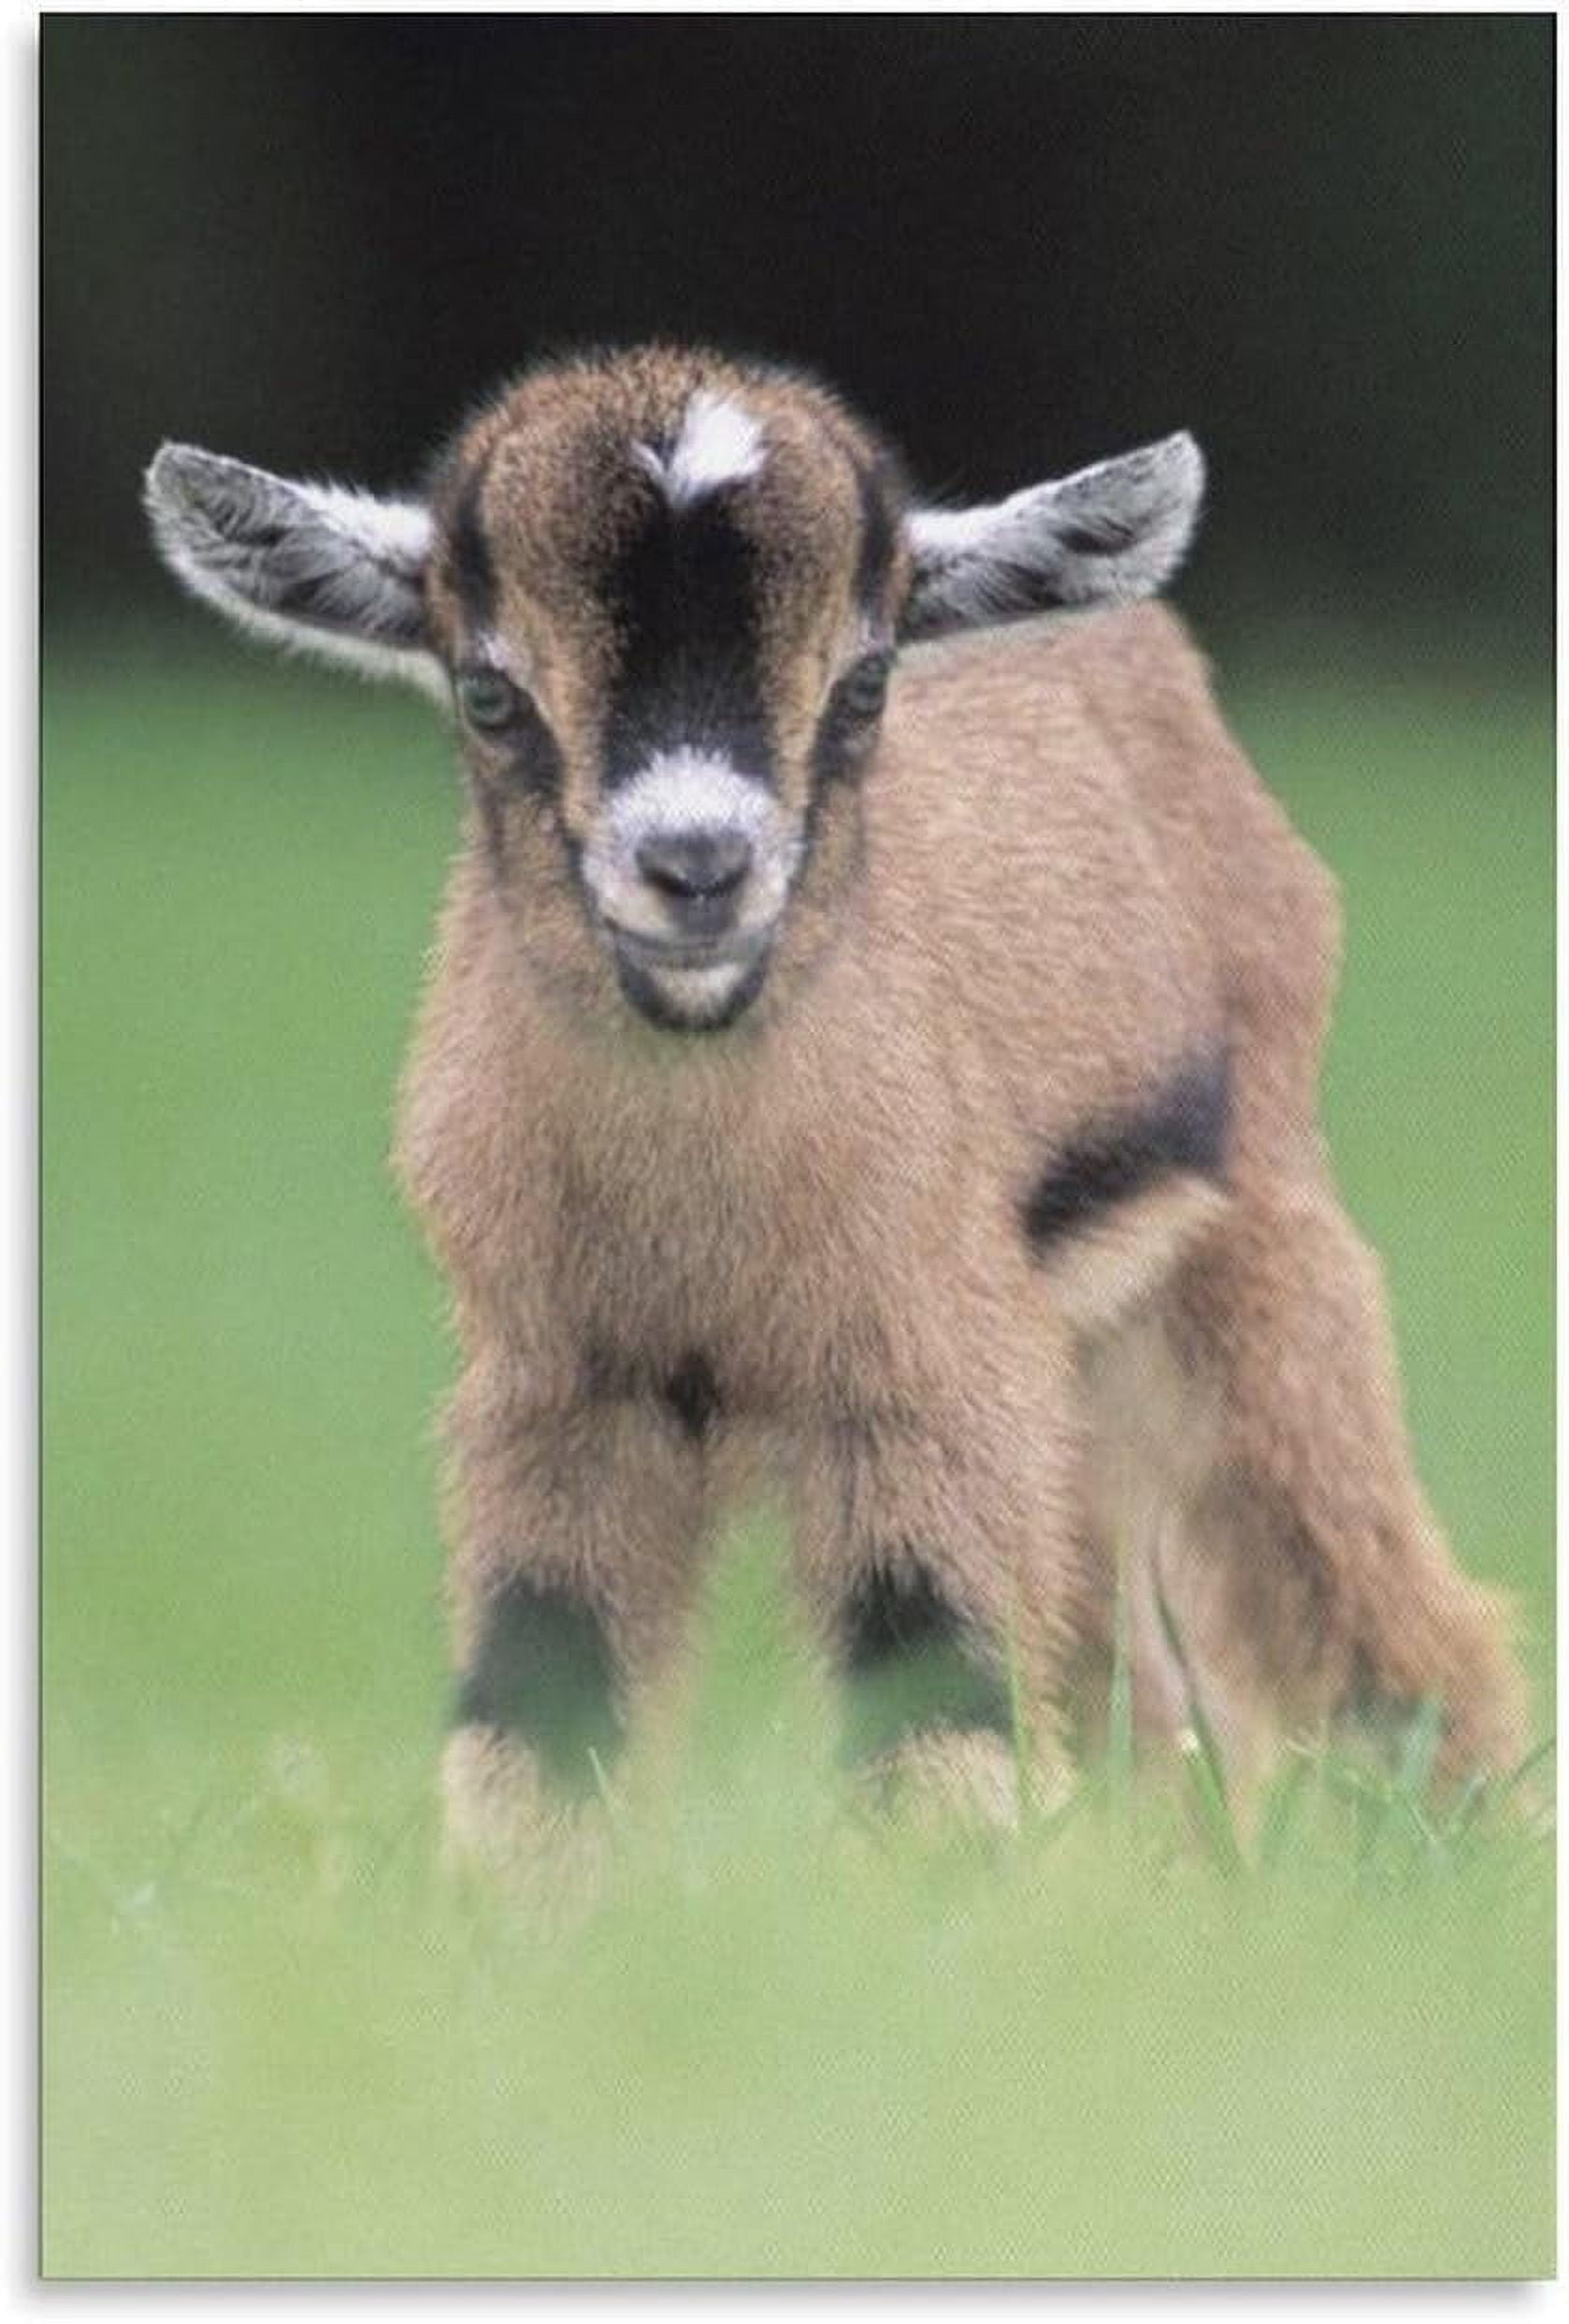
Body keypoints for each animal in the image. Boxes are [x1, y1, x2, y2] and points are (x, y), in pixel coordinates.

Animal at [145, 344, 1527, 1868]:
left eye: (863, 684)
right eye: (487, 694)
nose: (696, 868)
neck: (697, 1227)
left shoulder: (924, 1374)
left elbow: (937, 1709)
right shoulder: (560, 1389)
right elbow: (539, 1708)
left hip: (1247, 1250)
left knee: (1380, 1610)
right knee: (1137, 1691)